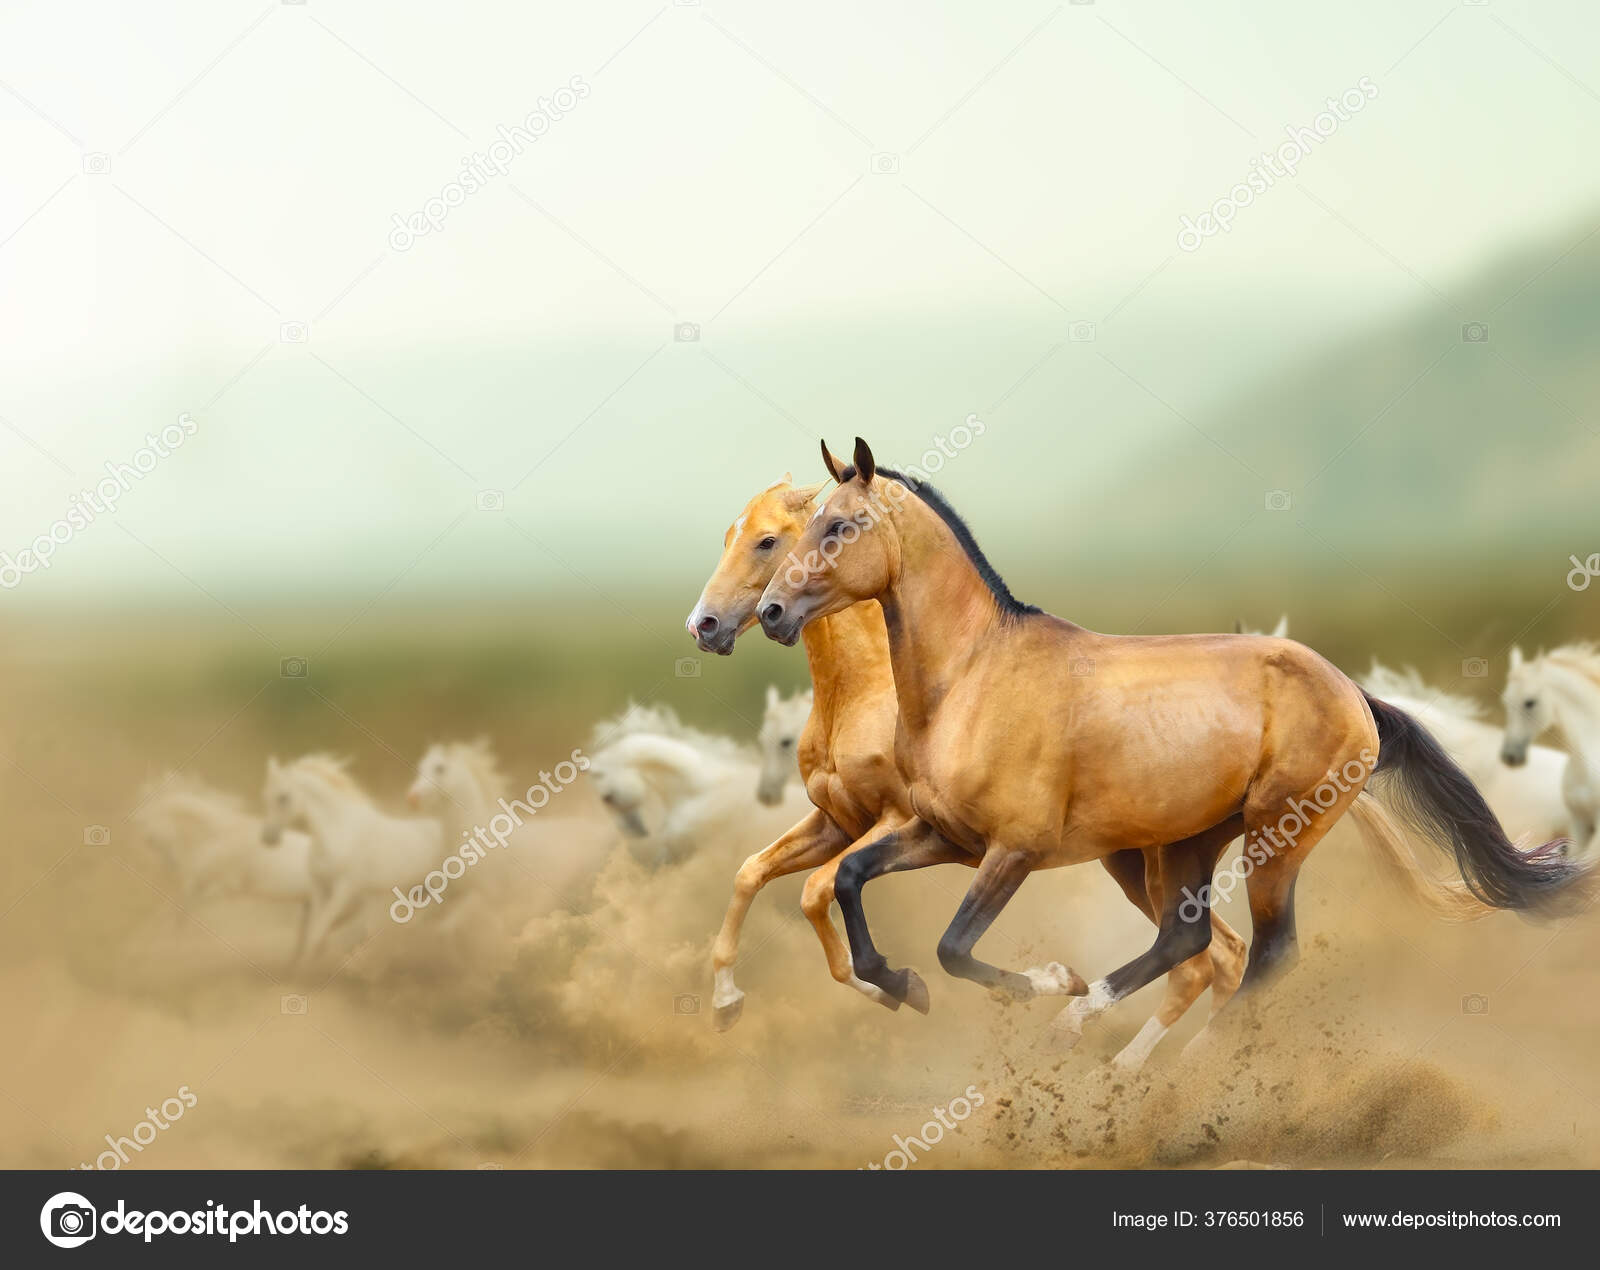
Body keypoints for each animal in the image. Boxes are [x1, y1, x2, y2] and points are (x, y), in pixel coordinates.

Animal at [260, 754, 443, 965]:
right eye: (265, 796)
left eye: (283, 797)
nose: (268, 838)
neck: (338, 830)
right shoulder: (319, 889)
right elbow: (314, 934)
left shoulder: (345, 890)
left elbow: (317, 934)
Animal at [687, 474, 1248, 1068]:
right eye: (728, 536)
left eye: (767, 541)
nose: (705, 625)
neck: (867, 694)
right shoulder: (837, 824)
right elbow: (752, 873)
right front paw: (726, 1003)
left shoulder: (894, 819)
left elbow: (817, 893)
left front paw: (902, 988)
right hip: (1131, 866)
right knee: (1216, 957)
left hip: (1148, 866)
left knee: (1206, 959)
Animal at [755, 438, 1586, 1053]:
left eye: (840, 526)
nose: (769, 613)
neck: (971, 676)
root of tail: (1355, 696)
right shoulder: (943, 836)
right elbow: (852, 879)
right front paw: (904, 987)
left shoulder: (1013, 850)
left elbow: (954, 946)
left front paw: (1049, 982)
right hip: (1189, 842)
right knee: (1188, 944)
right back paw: (1115, 1051)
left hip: (1274, 840)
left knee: (1266, 954)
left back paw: (1152, 1059)